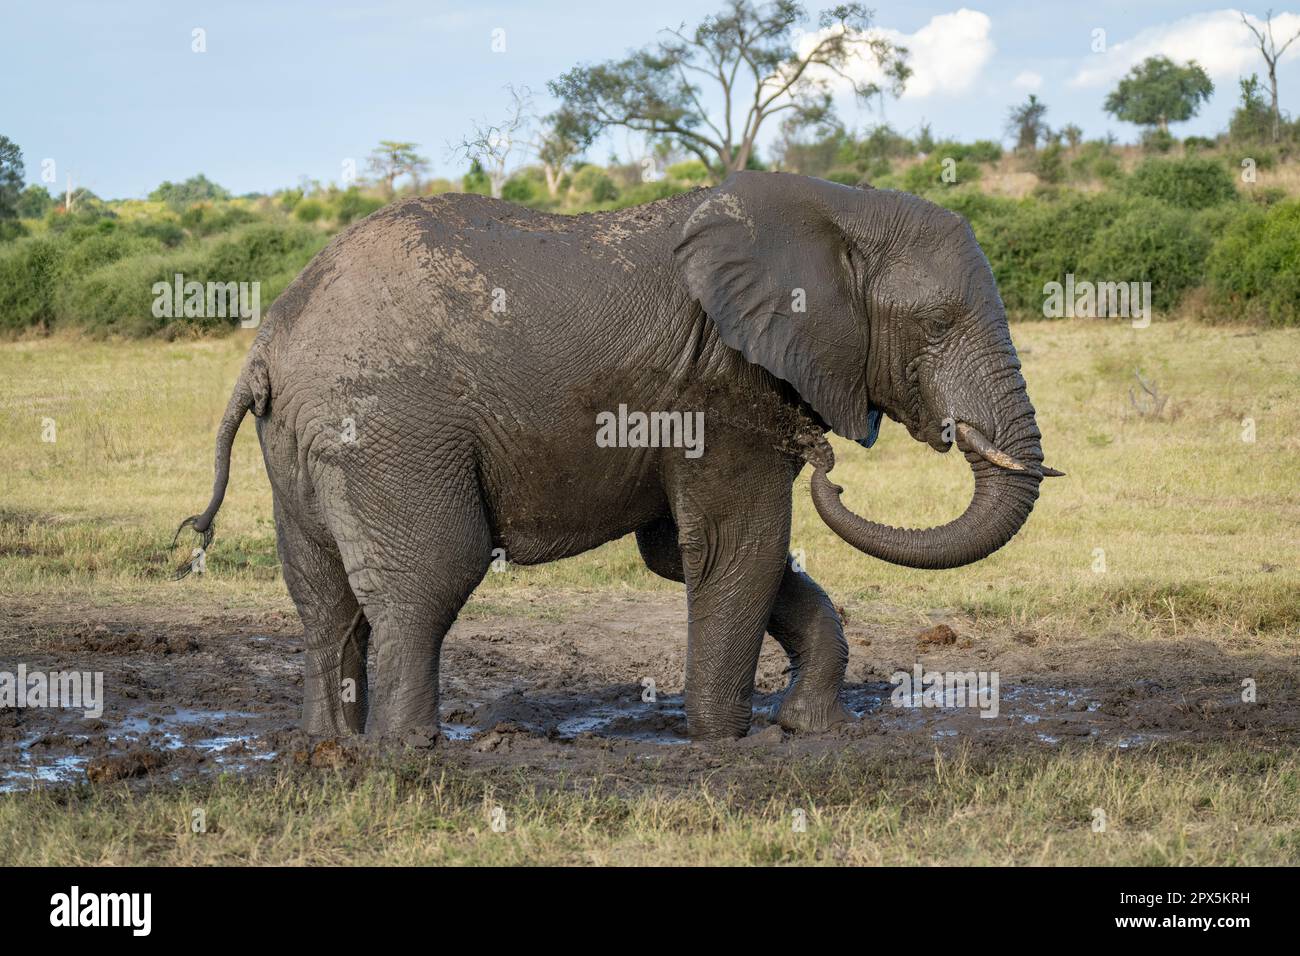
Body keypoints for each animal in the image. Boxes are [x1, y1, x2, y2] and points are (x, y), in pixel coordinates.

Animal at [175, 171, 1061, 743]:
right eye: (937, 324)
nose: (824, 462)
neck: (836, 207)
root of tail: (268, 341)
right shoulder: (718, 393)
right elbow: (738, 548)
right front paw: (723, 741)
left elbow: (688, 555)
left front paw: (808, 726)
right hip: (388, 429)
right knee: (429, 576)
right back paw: (408, 757)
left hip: (307, 442)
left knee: (322, 595)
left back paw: (331, 754)